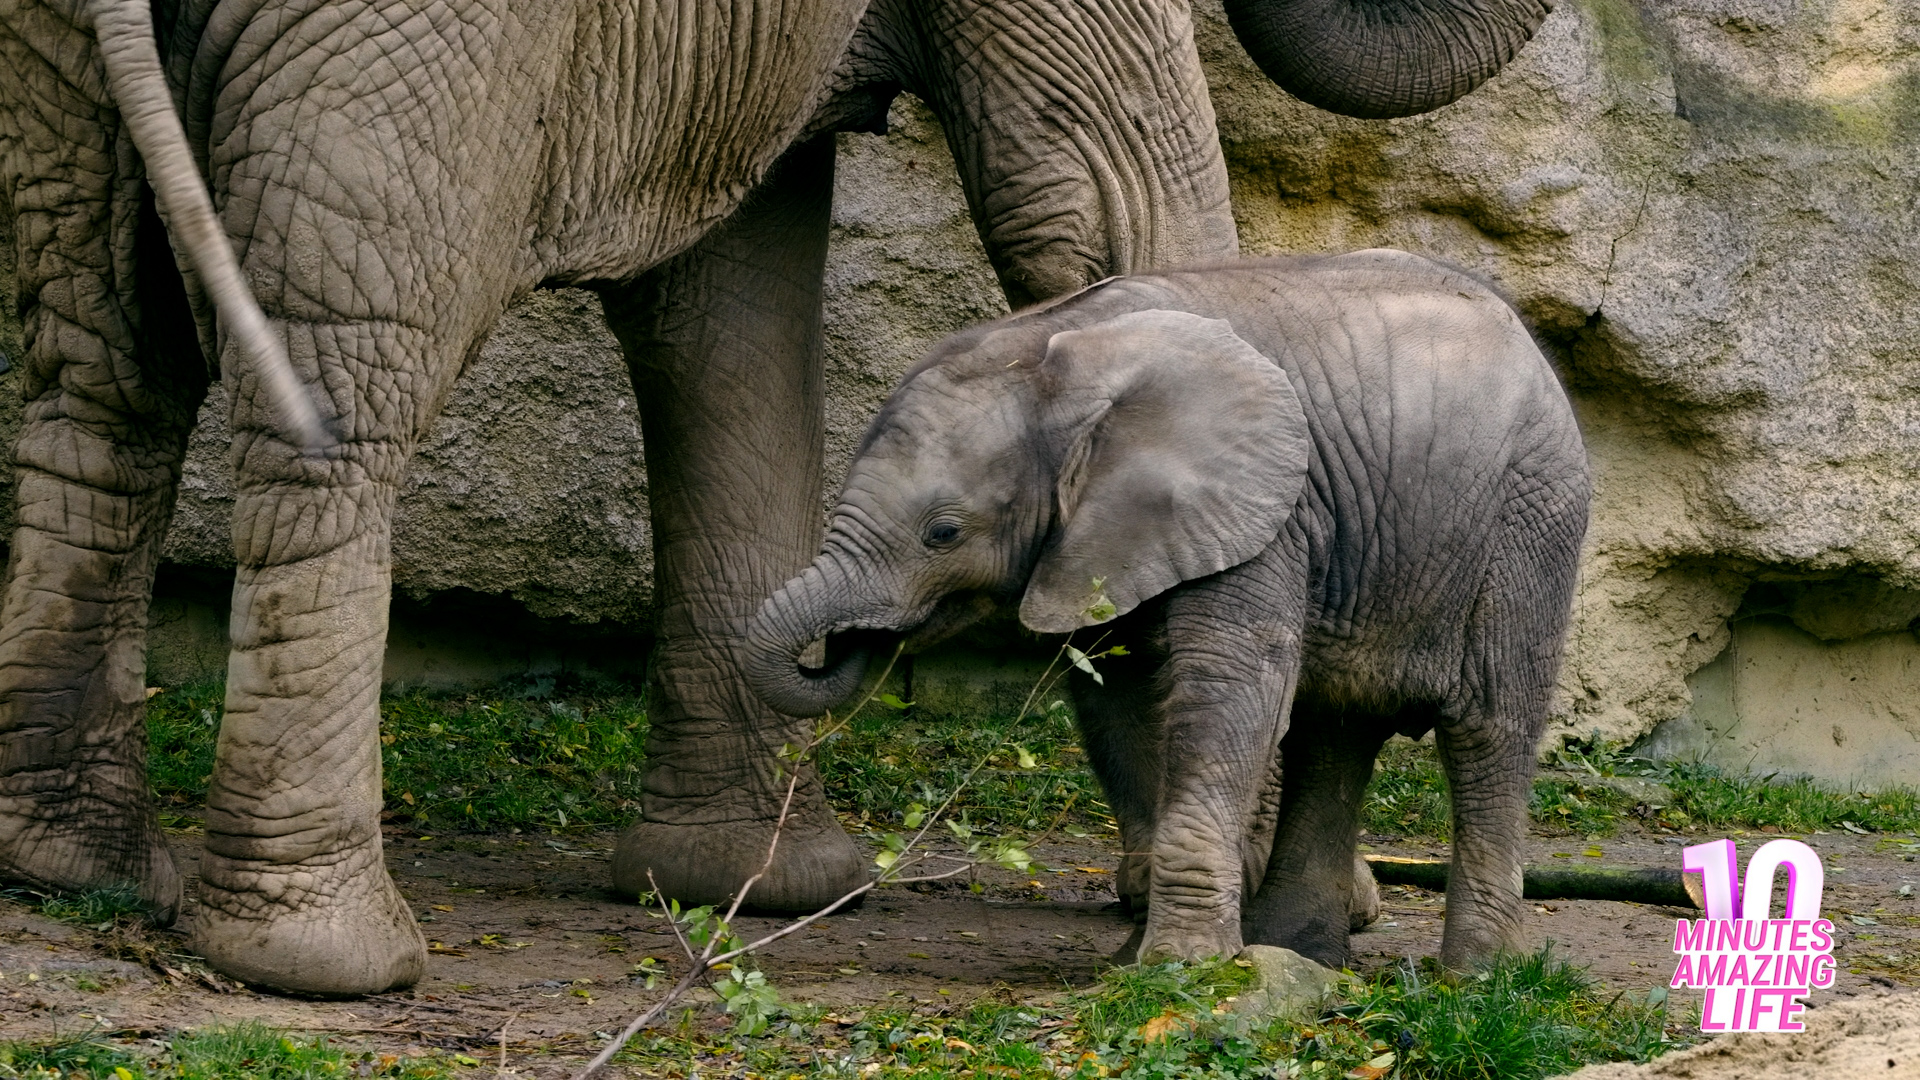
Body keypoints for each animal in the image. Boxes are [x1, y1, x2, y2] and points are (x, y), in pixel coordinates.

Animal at [746, 251, 1590, 969]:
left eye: (943, 533)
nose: (852, 640)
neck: (1055, 353)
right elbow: (1120, 695)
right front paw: (1136, 964)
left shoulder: (1264, 512)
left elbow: (1228, 686)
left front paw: (1181, 970)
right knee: (1333, 731)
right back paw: (1297, 955)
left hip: (1530, 519)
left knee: (1486, 727)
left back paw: (1476, 978)